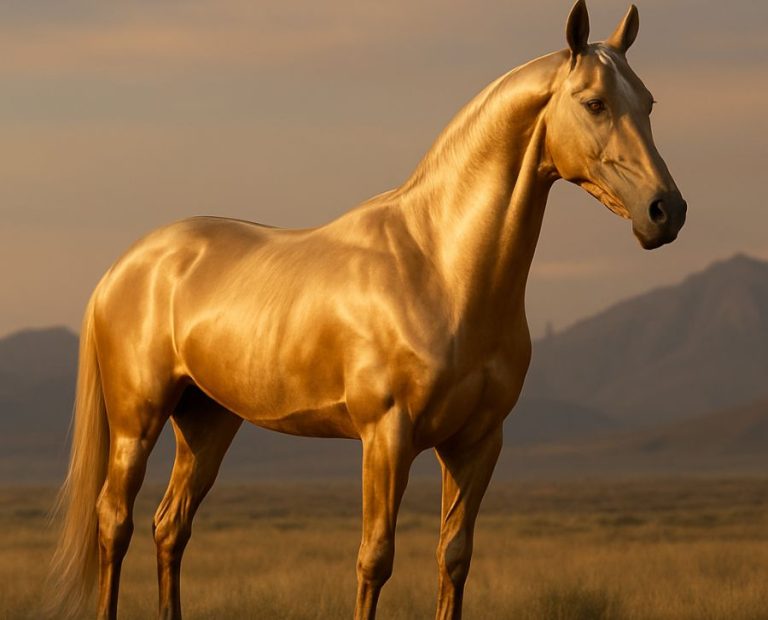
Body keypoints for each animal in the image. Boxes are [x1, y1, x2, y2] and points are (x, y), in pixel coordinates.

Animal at [48, 1, 686, 618]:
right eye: (594, 103)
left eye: (649, 102)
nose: (666, 211)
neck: (439, 266)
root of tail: (124, 267)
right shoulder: (386, 435)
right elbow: (375, 559)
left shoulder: (478, 442)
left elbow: (454, 559)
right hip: (138, 420)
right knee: (116, 522)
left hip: (207, 421)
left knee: (170, 527)